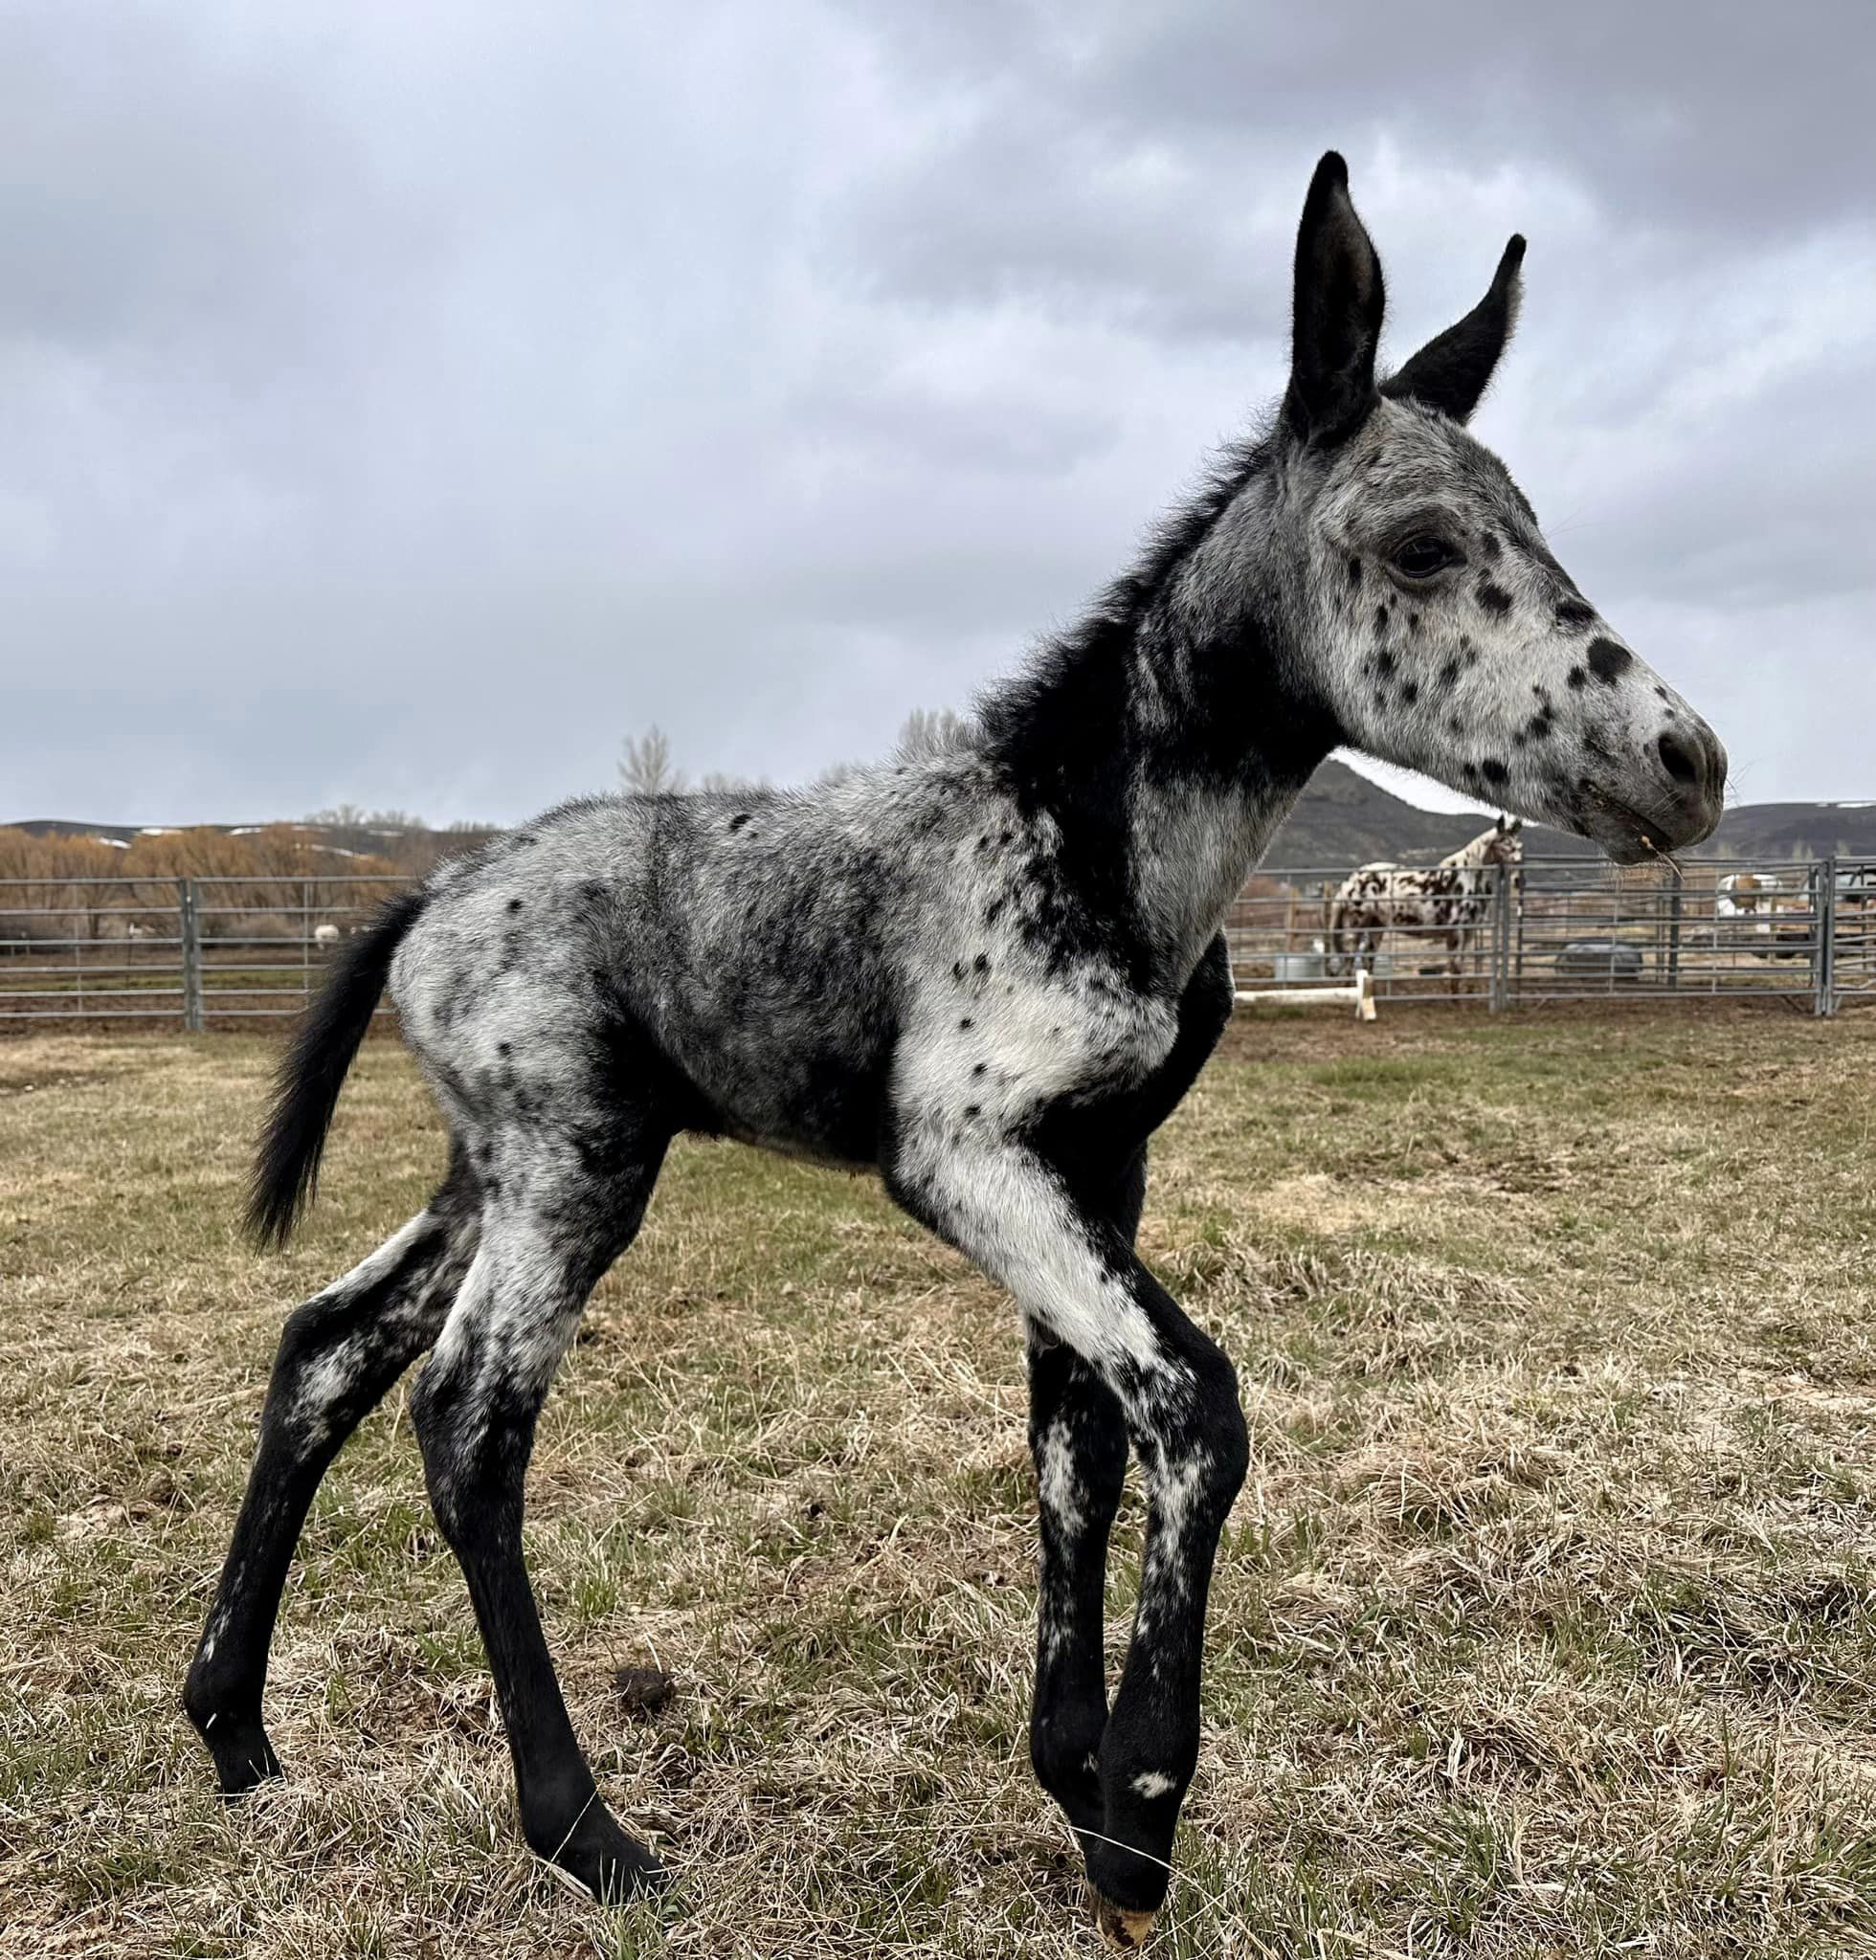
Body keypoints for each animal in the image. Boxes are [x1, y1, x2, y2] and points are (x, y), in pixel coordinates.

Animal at [184, 154, 1726, 1947]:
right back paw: (588, 1832)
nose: (1688, 762)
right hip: (573, 1171)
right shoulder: (963, 1157)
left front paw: (1073, 1775)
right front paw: (1137, 1821)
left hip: (487, 1173)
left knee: (327, 1347)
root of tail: (429, 894)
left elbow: (1079, 1438)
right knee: (467, 1421)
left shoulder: (1099, 1167)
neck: (1086, 845)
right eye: (1423, 543)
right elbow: (1194, 1404)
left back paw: (235, 1734)